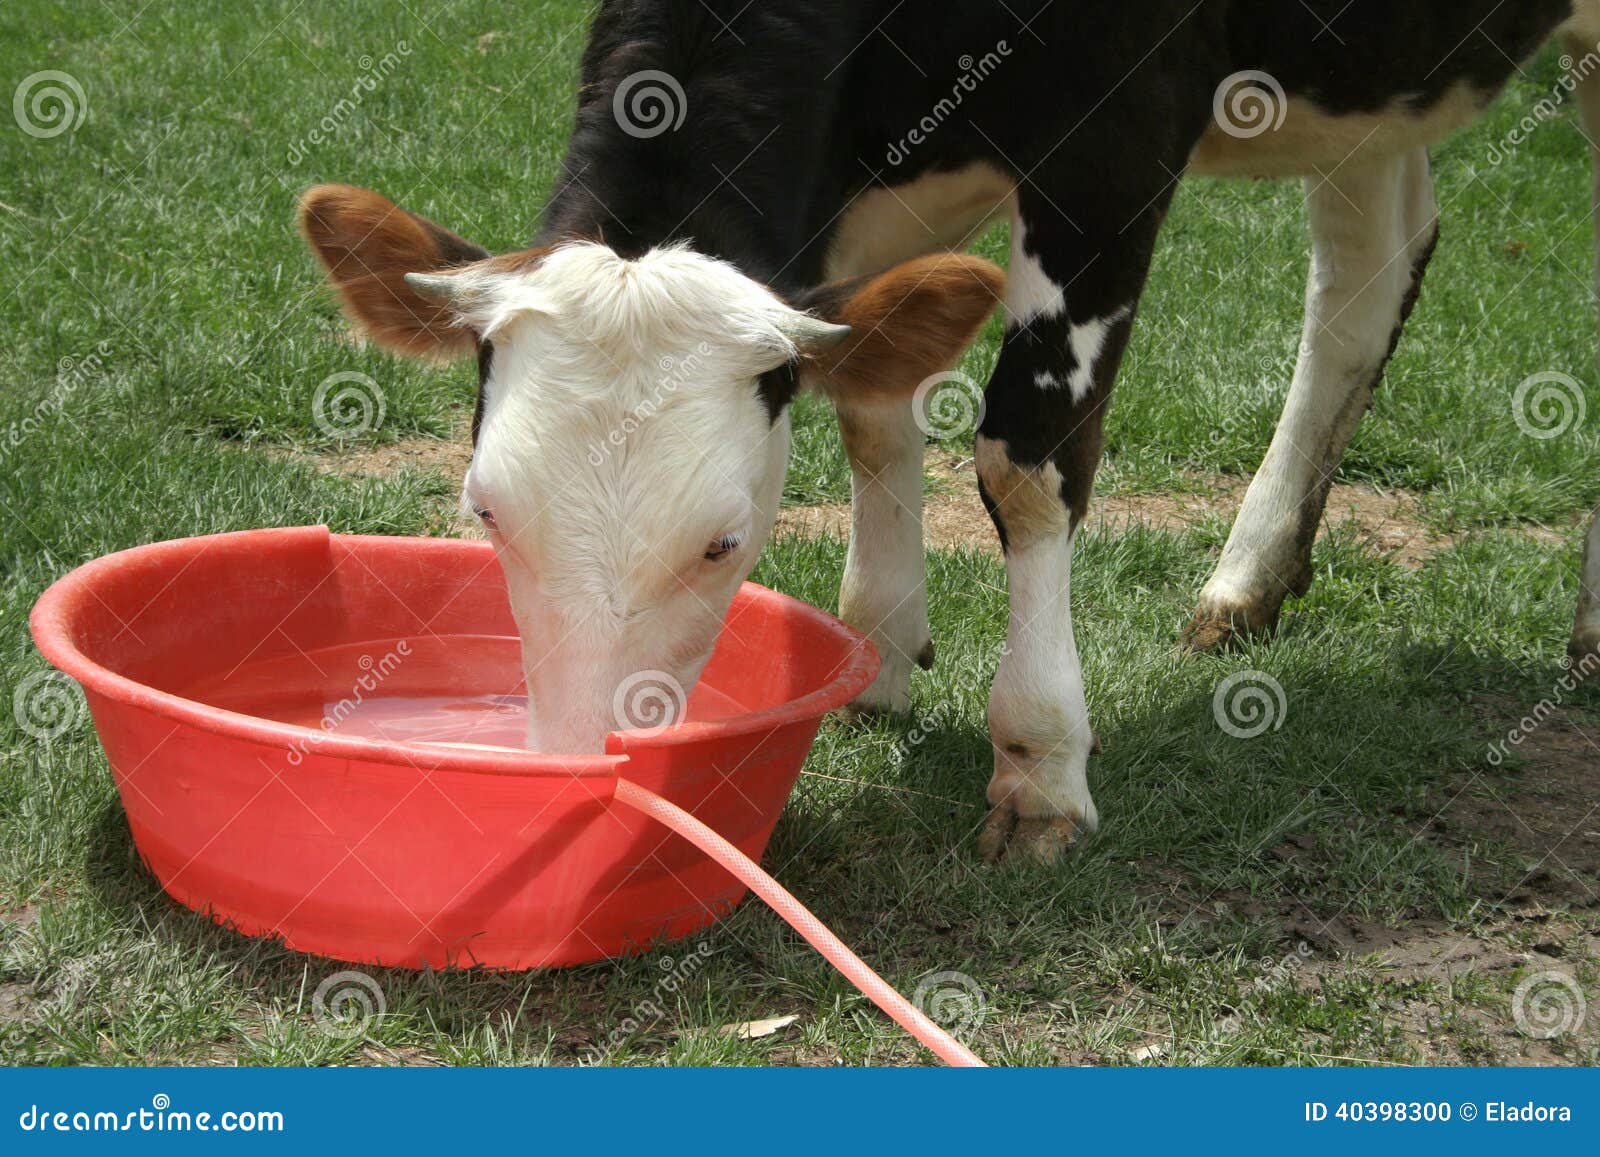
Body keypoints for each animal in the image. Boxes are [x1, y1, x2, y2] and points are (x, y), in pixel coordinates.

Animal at [299, 1, 1600, 863]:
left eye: (724, 542)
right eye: (485, 508)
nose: (577, 774)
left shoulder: (1113, 135)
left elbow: (1023, 457)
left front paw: (1039, 767)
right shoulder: (872, 165)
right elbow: (874, 406)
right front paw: (875, 652)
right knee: (1367, 273)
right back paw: (1248, 578)